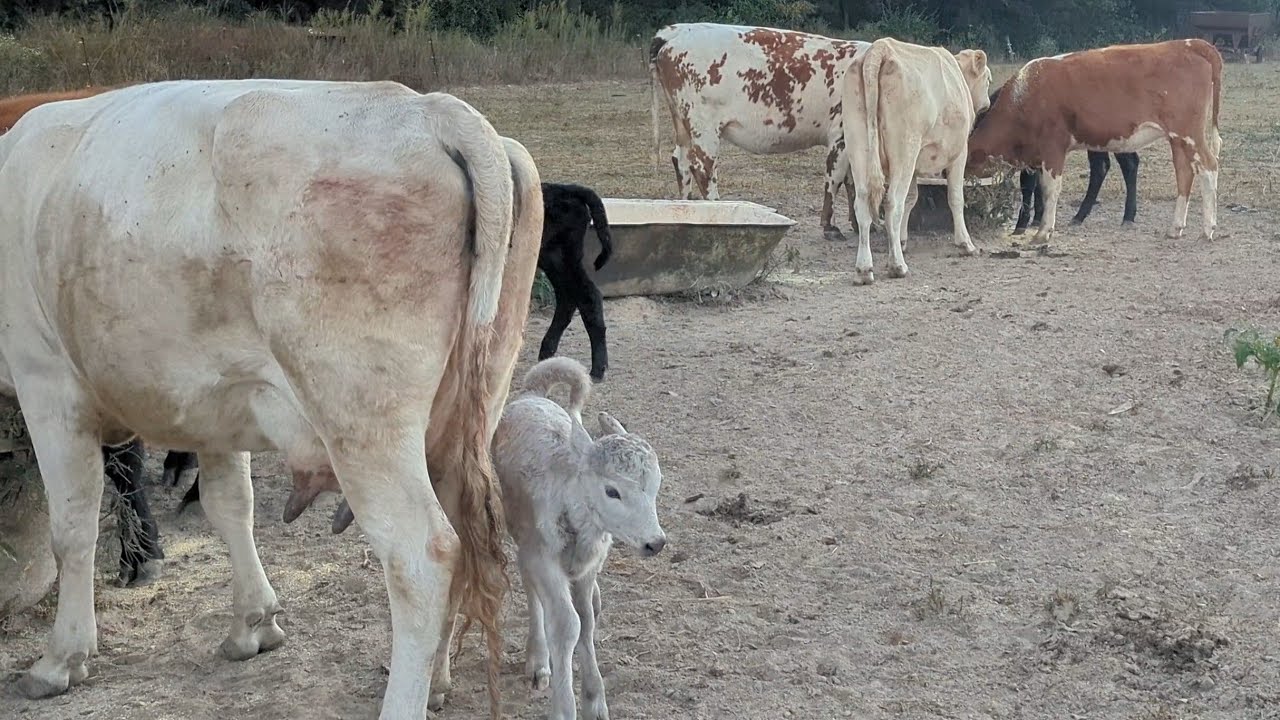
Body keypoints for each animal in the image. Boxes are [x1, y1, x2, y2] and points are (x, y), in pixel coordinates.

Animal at [0, 78, 544, 720]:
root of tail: (432, 107)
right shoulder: (215, 398)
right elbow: (230, 504)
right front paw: (253, 623)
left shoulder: (47, 383)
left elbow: (72, 528)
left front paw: (61, 658)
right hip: (466, 414)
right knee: (460, 529)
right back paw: (435, 680)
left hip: (361, 419)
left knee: (424, 555)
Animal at [649, 22, 870, 241]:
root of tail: (677, 29)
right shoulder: (841, 135)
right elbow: (835, 179)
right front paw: (830, 227)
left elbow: (852, 181)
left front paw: (857, 223)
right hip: (704, 126)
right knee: (703, 168)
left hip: (683, 123)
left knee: (681, 162)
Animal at [843, 37, 992, 283]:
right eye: (988, 80)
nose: (988, 103)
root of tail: (880, 48)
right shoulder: (959, 153)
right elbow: (955, 197)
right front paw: (965, 244)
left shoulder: (913, 169)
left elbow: (911, 199)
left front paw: (902, 241)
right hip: (905, 149)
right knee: (893, 202)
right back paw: (897, 266)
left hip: (859, 148)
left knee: (863, 203)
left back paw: (864, 269)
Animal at [967, 39, 1222, 243]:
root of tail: (1188, 43)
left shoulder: (1053, 146)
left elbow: (1050, 188)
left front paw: (1043, 231)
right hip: (1178, 139)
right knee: (1184, 174)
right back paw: (1175, 228)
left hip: (1190, 133)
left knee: (1209, 166)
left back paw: (1207, 229)